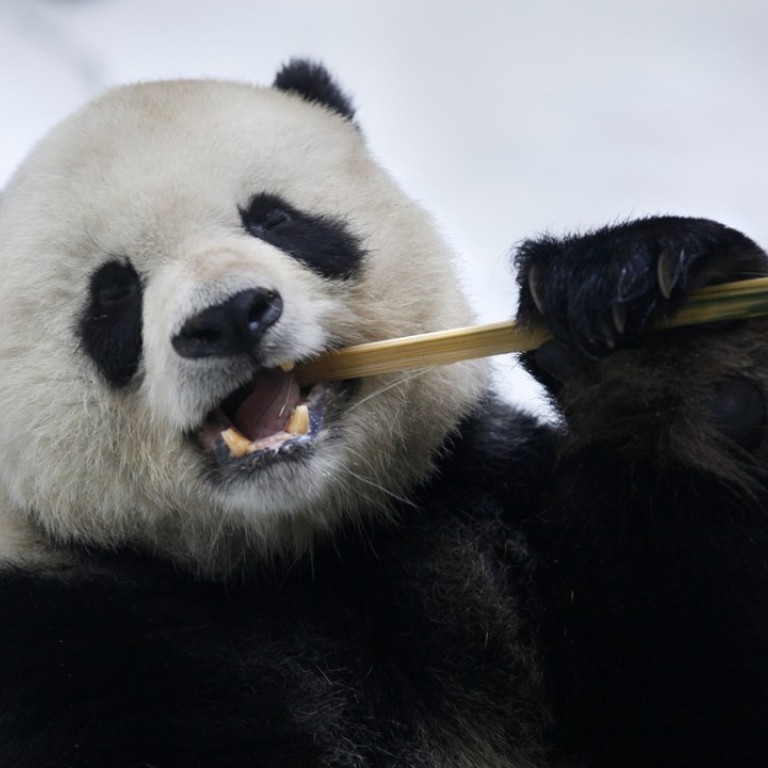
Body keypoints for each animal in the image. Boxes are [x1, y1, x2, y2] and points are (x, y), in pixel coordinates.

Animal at [0, 59, 767, 768]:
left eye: (277, 220)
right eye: (113, 293)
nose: (231, 316)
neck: (305, 552)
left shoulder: (481, 506)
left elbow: (684, 668)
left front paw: (644, 314)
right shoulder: (75, 641)